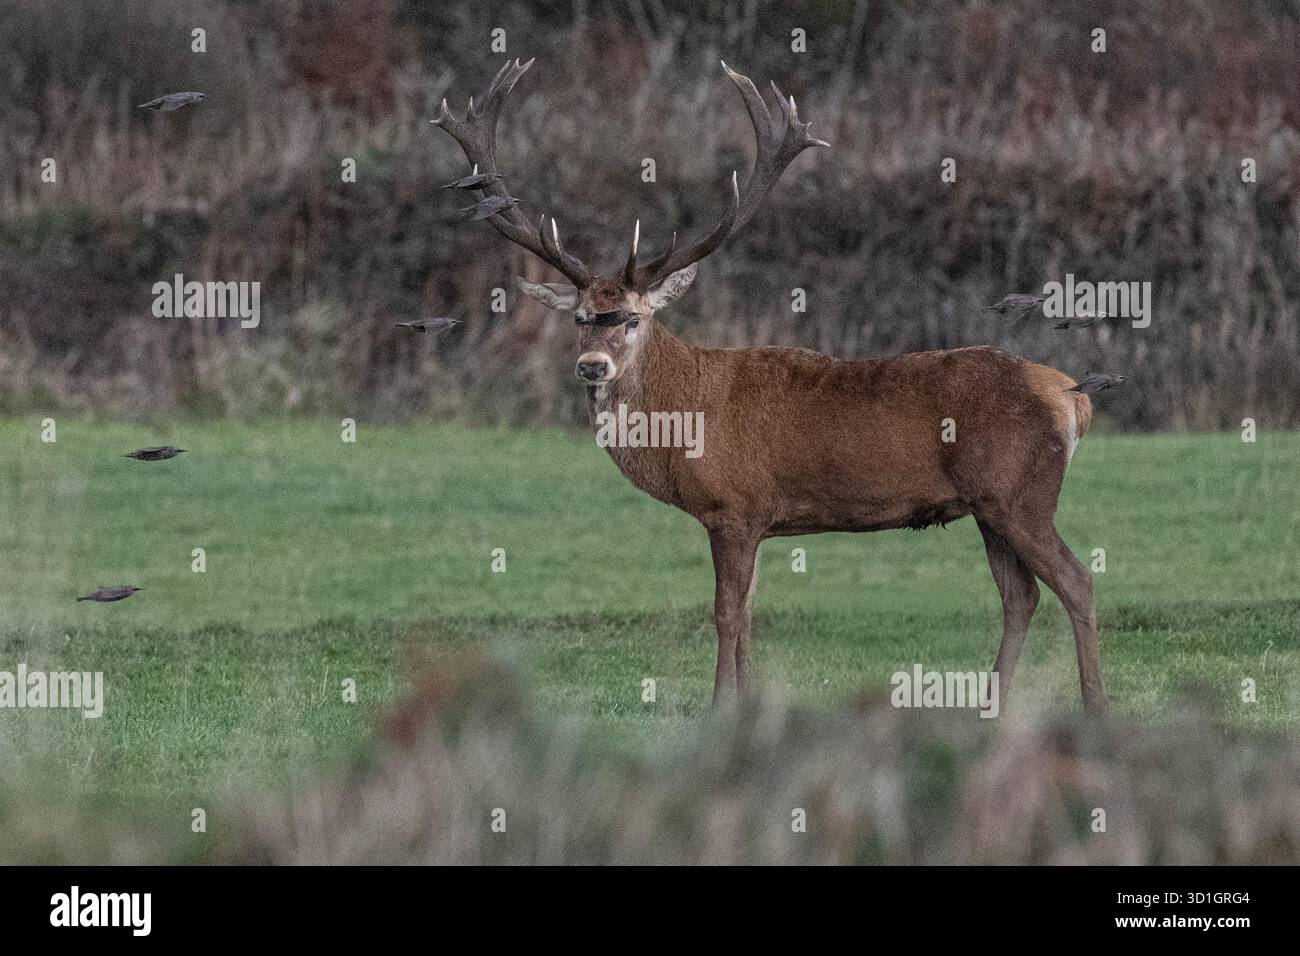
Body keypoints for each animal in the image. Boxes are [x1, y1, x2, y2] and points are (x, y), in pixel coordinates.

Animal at [433, 59, 1105, 713]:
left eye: (632, 317)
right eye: (578, 318)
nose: (592, 366)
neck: (682, 423)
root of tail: (1072, 398)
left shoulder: (732, 506)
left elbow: (726, 614)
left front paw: (719, 708)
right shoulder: (758, 519)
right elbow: (751, 613)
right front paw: (747, 701)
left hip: (1020, 492)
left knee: (1076, 579)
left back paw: (1093, 704)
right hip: (989, 506)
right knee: (1020, 595)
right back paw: (994, 703)